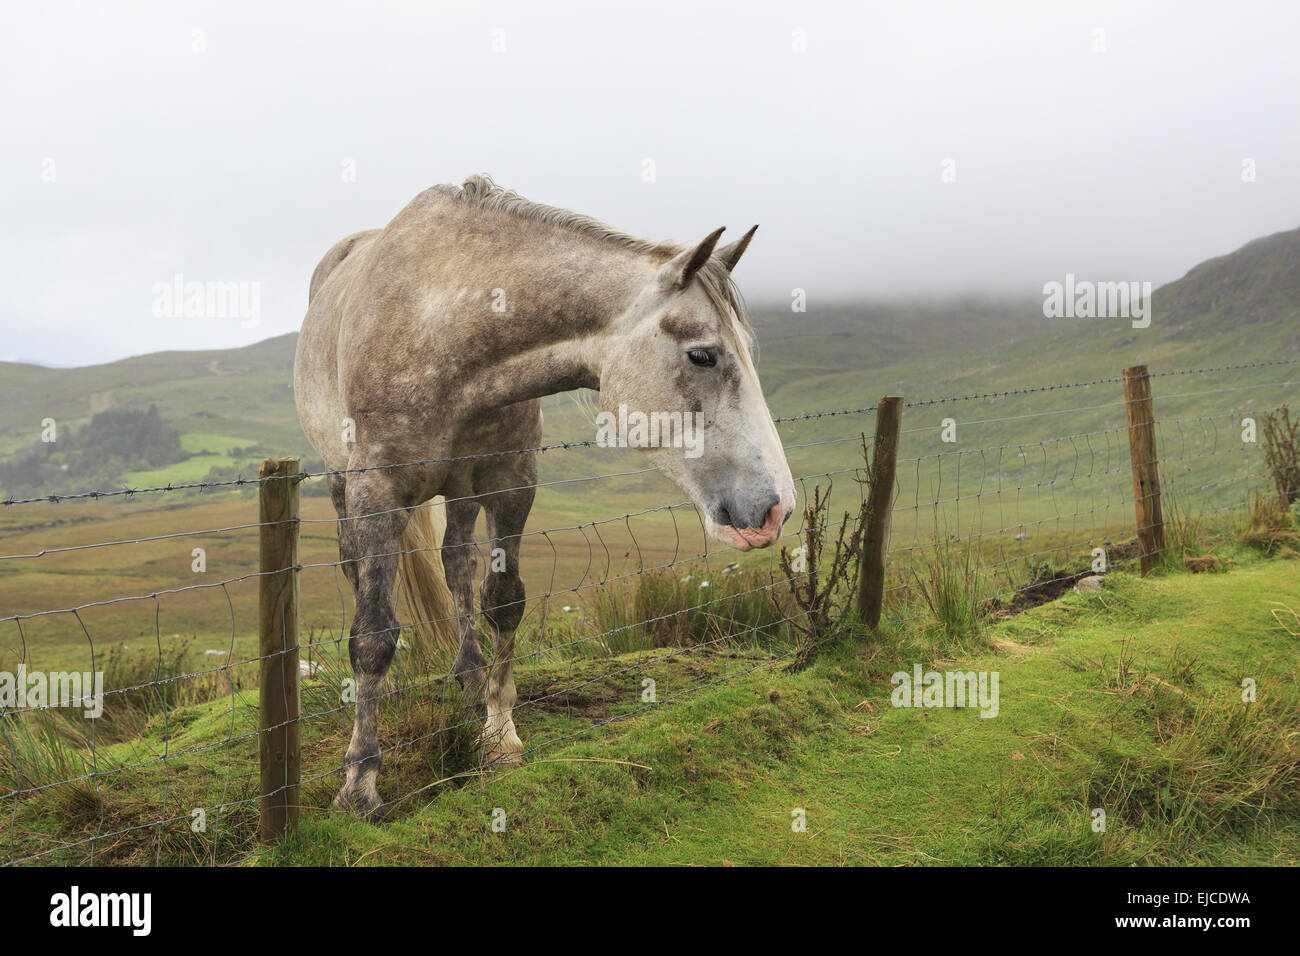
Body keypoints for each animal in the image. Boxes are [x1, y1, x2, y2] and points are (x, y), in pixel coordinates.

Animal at [294, 174, 795, 819]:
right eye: (703, 355)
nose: (776, 508)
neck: (441, 326)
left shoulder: (512, 483)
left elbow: (504, 601)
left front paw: (499, 734)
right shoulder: (375, 489)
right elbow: (374, 637)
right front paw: (359, 784)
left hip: (461, 492)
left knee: (457, 563)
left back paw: (469, 678)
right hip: (341, 485)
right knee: (358, 571)